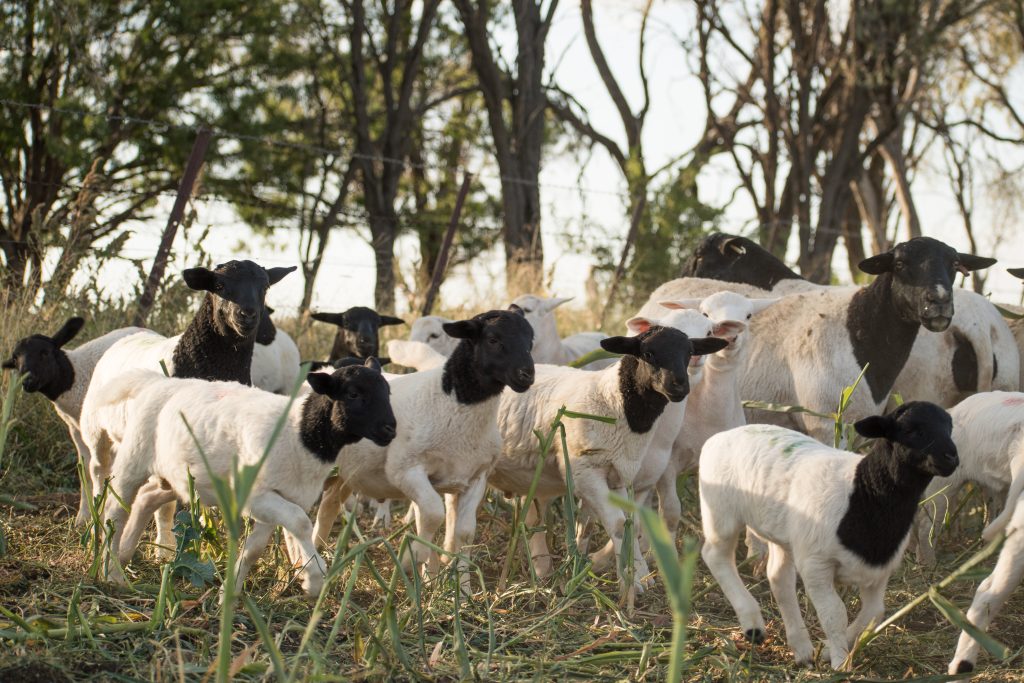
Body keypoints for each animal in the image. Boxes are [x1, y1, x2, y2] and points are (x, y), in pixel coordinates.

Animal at [2, 318, 143, 526]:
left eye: (45, 352)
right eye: (15, 358)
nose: (27, 382)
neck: (75, 376)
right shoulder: (76, 429)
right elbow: (85, 470)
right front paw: (84, 517)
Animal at [85, 360, 395, 596]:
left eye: (388, 392)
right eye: (353, 394)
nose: (390, 429)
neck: (301, 435)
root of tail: (154, 383)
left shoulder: (276, 499)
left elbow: (255, 549)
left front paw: (230, 592)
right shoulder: (256, 495)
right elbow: (301, 523)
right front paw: (315, 579)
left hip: (177, 477)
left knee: (146, 498)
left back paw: (124, 554)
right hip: (134, 457)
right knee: (115, 512)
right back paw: (112, 573)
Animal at [310, 308, 536, 579]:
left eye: (531, 339)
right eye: (493, 339)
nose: (527, 375)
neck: (452, 402)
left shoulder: (475, 478)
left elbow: (464, 533)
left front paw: (460, 584)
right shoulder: (406, 470)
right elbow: (432, 514)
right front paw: (412, 560)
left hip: (348, 473)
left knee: (329, 504)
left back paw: (316, 553)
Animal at [489, 325, 727, 590]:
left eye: (689, 353)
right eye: (648, 353)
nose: (679, 387)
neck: (615, 402)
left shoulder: (618, 476)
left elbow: (631, 524)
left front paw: (638, 574)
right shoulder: (586, 472)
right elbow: (617, 524)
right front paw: (628, 581)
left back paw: (541, 569)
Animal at [700, 401, 958, 669]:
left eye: (949, 428)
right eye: (911, 431)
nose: (952, 457)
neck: (863, 494)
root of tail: (723, 436)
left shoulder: (878, 571)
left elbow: (874, 613)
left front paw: (827, 650)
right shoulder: (816, 565)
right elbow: (835, 613)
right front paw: (840, 662)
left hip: (782, 533)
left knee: (779, 578)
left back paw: (802, 649)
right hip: (721, 512)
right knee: (716, 556)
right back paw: (753, 625)